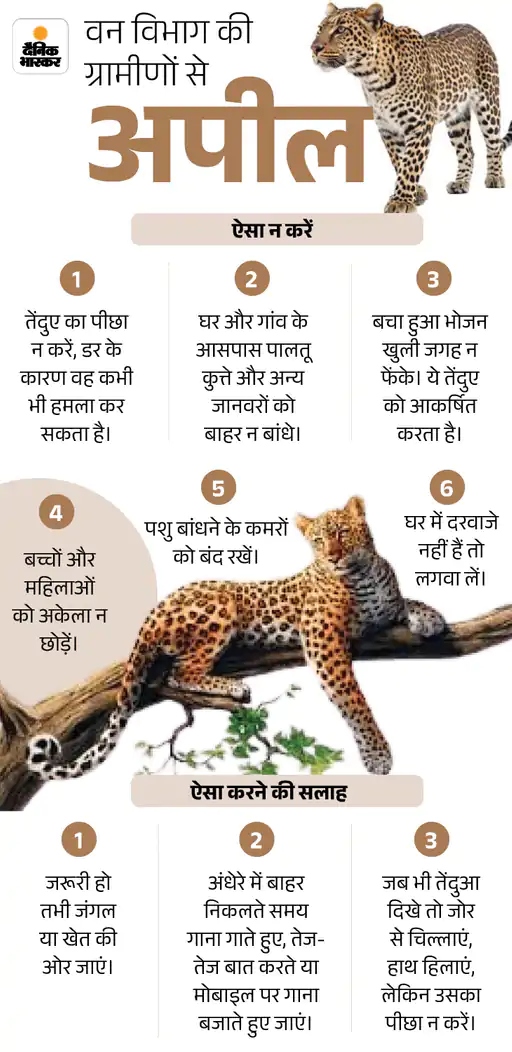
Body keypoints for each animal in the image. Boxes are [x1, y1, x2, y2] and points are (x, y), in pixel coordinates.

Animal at [26, 496, 445, 780]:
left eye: (342, 532)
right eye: (317, 540)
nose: (332, 556)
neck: (362, 572)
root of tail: (153, 612)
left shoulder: (385, 607)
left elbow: (409, 600)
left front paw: (432, 618)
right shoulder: (323, 639)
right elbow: (353, 699)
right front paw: (377, 755)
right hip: (220, 607)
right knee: (181, 671)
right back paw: (233, 687)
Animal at [311, 4, 512, 212]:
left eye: (341, 30)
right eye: (320, 29)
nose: (314, 48)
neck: (371, 78)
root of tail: (475, 29)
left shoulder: (419, 126)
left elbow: (410, 163)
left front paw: (401, 201)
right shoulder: (387, 129)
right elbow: (400, 161)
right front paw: (417, 193)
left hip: (488, 103)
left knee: (493, 143)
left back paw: (495, 177)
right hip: (456, 118)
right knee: (467, 151)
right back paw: (460, 183)